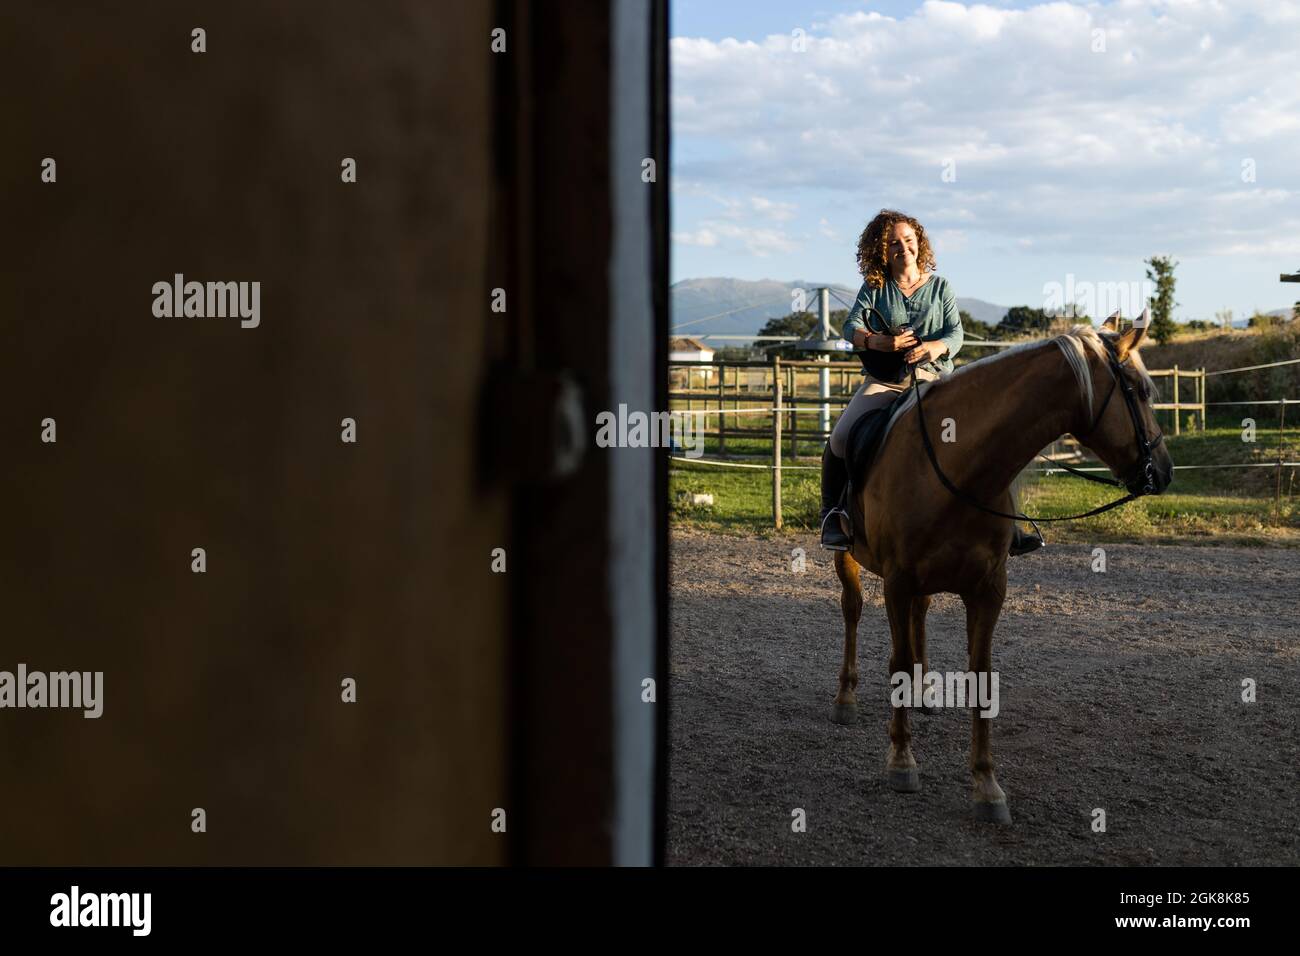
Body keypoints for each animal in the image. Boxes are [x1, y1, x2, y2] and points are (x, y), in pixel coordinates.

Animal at [830, 317, 1174, 823]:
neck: (958, 466)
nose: (1165, 472)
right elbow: (896, 662)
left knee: (920, 616)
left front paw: (987, 786)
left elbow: (981, 676)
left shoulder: (988, 589)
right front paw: (901, 761)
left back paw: (924, 693)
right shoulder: (896, 582)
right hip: (849, 557)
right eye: (1140, 391)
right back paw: (846, 698)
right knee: (852, 612)